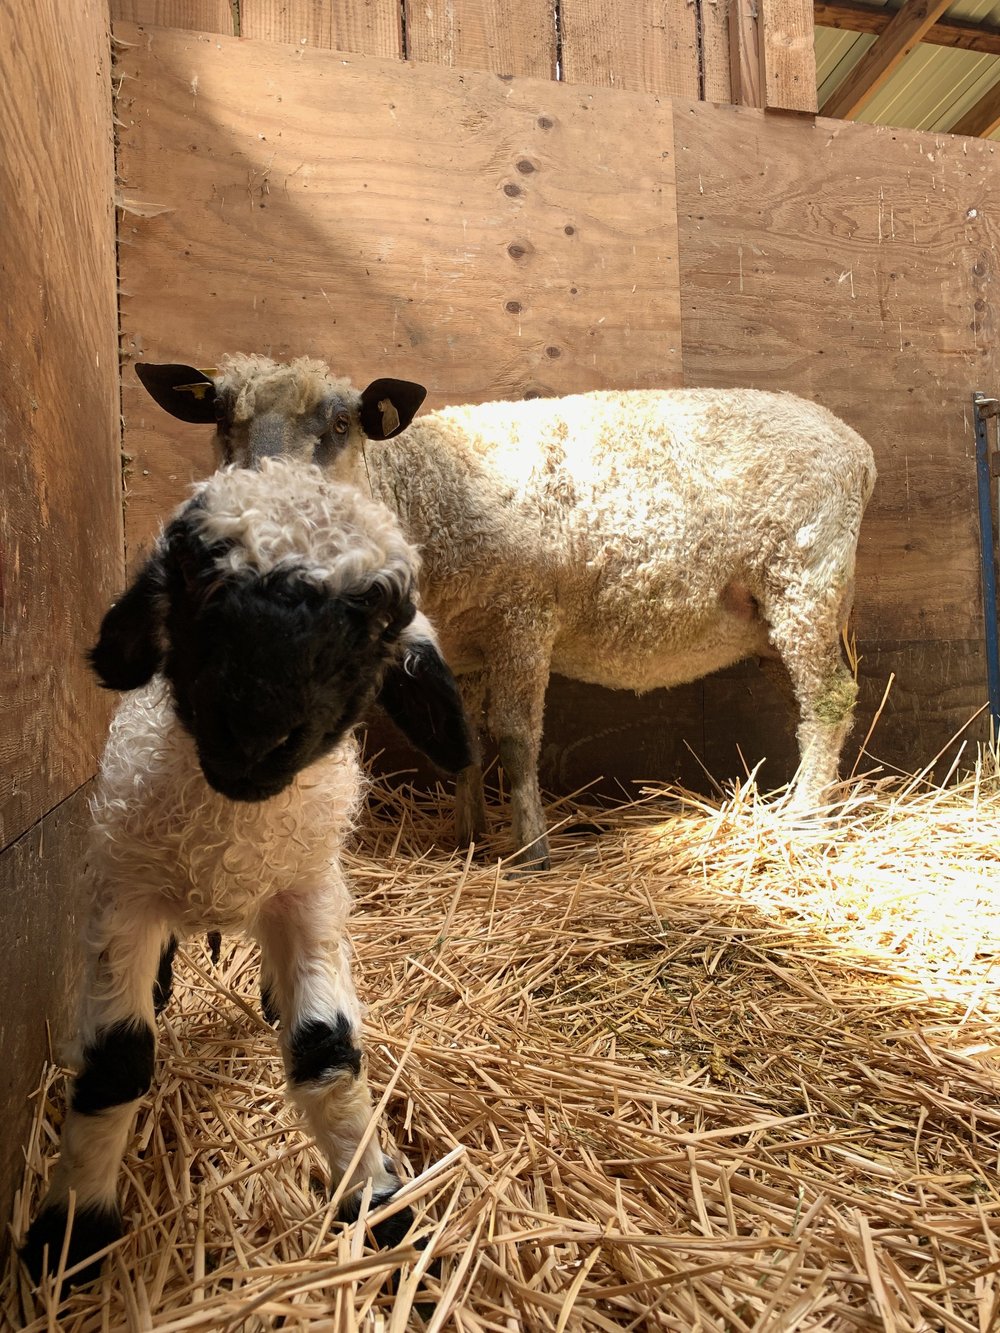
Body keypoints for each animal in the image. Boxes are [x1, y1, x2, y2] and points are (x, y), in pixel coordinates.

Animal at [22, 458, 472, 1286]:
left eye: (373, 632)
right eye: (195, 590)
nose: (257, 733)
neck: (228, 831)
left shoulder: (309, 894)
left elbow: (328, 1052)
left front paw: (380, 1207)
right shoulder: (127, 897)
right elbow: (117, 1064)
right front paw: (69, 1234)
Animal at [137, 357, 878, 870]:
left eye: (340, 425)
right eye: (219, 419)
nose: (259, 509)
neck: (420, 493)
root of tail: (856, 447)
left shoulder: (524, 616)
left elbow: (517, 739)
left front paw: (531, 852)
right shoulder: (462, 643)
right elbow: (463, 738)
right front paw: (464, 837)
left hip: (805, 579)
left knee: (831, 698)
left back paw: (804, 823)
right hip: (784, 607)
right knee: (817, 705)